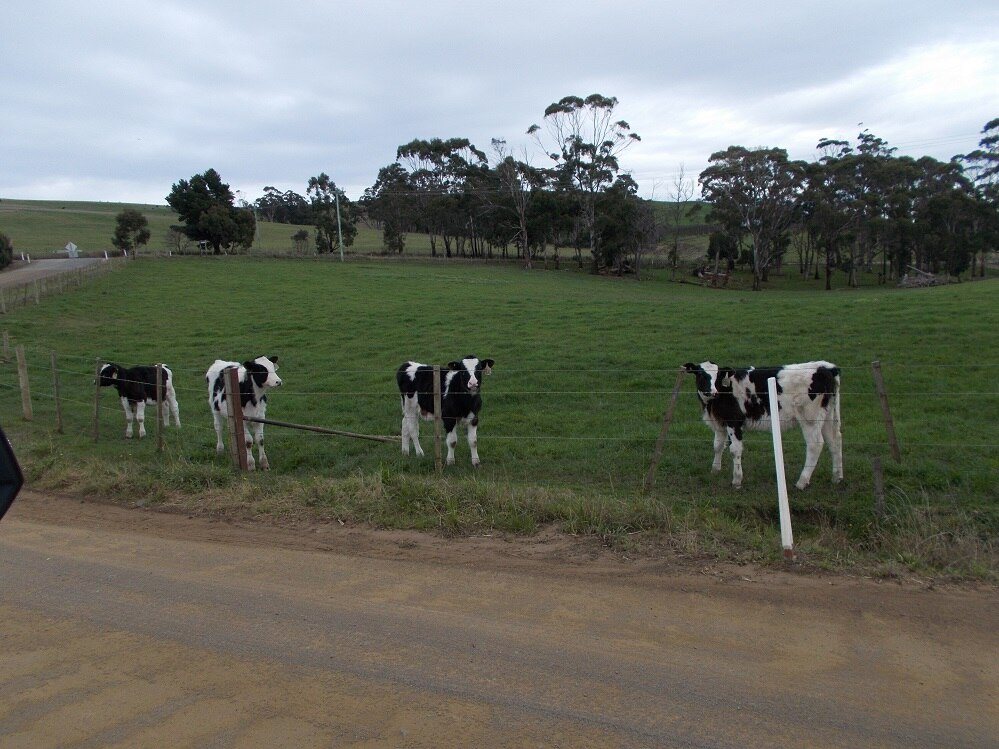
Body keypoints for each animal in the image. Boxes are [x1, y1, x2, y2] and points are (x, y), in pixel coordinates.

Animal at [683, 360, 843, 490]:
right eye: (701, 375)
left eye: (717, 376)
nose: (712, 391)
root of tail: (827, 367)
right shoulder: (721, 422)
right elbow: (717, 446)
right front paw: (715, 470)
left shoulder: (734, 422)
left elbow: (735, 449)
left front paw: (737, 480)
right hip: (828, 416)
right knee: (835, 441)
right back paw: (837, 477)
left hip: (810, 418)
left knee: (815, 444)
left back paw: (801, 482)